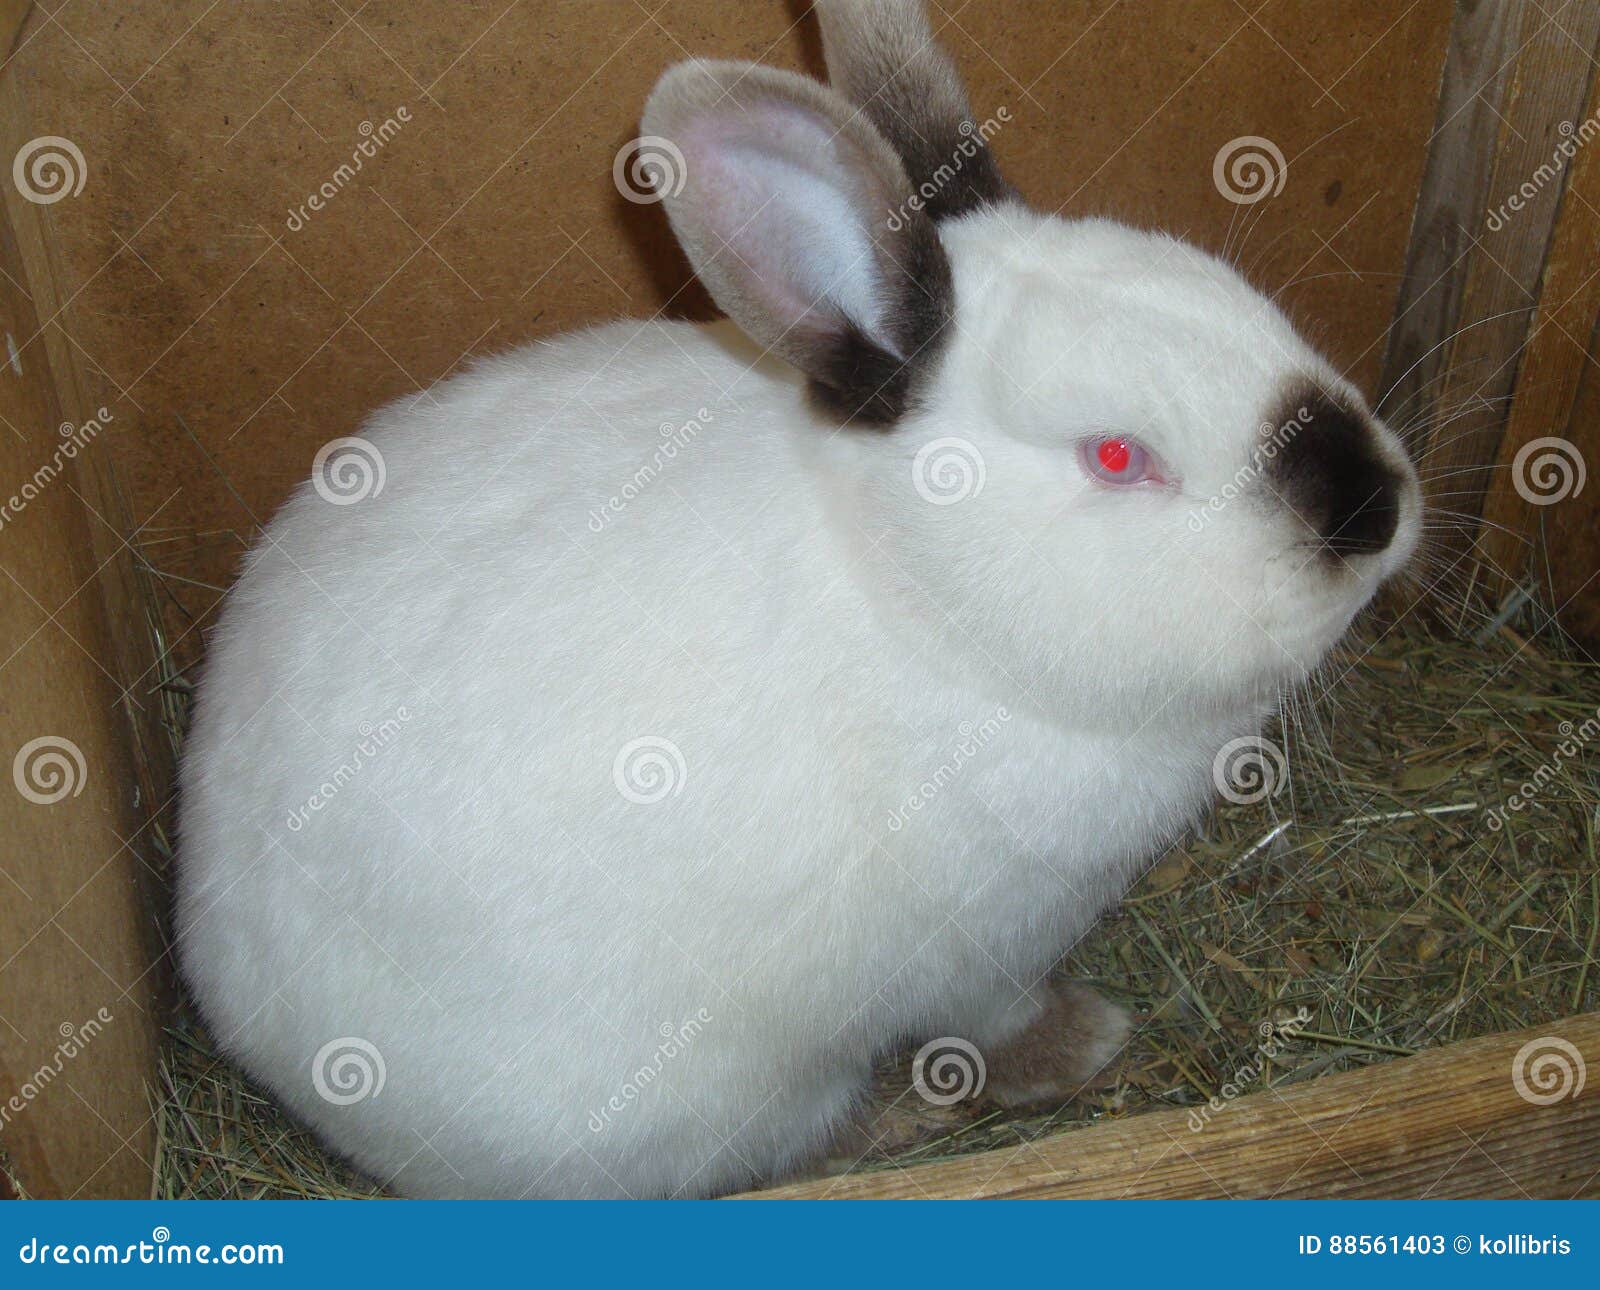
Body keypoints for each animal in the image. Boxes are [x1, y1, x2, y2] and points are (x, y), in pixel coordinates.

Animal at [175, 0, 1422, 1198]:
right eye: (1116, 457)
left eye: (1249, 308)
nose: (1377, 511)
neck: (917, 600)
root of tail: (241, 1009)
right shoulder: (983, 951)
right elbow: (998, 1016)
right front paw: (1082, 1043)